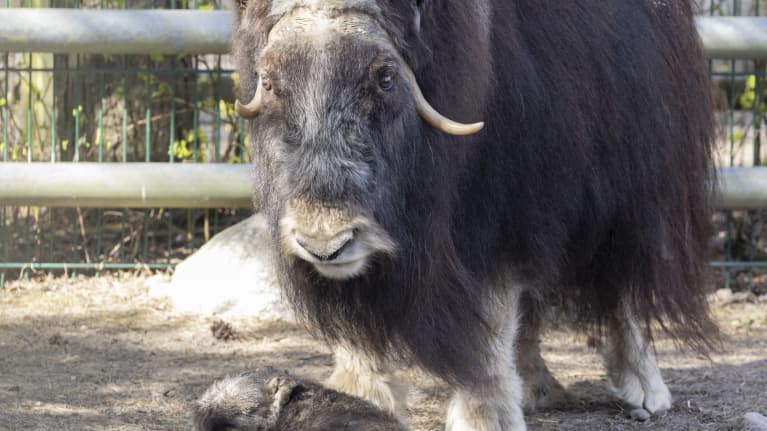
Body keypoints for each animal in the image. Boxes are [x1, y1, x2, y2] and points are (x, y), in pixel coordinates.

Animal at [232, 1, 719, 429]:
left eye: (385, 77)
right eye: (269, 82)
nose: (323, 242)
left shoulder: (497, 220)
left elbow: (491, 320)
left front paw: (485, 418)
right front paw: (357, 400)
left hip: (638, 197)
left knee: (625, 287)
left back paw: (645, 389)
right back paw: (535, 387)